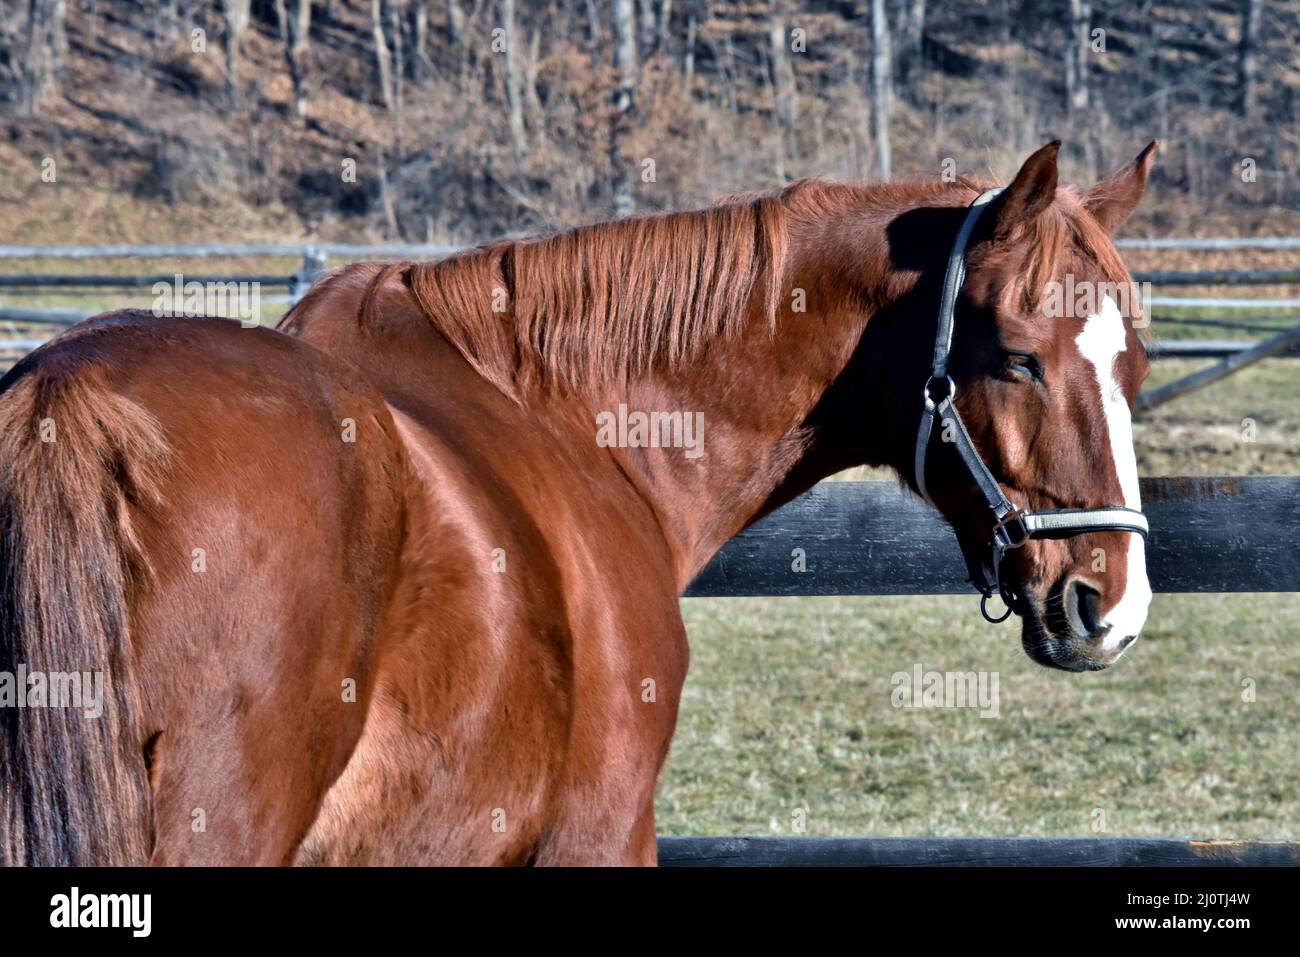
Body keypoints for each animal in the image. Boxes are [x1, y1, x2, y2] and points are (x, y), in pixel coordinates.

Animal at [0, 140, 1158, 866]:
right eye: (1017, 357)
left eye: (1136, 363)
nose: (1109, 606)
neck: (576, 420)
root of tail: (72, 396)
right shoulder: (599, 831)